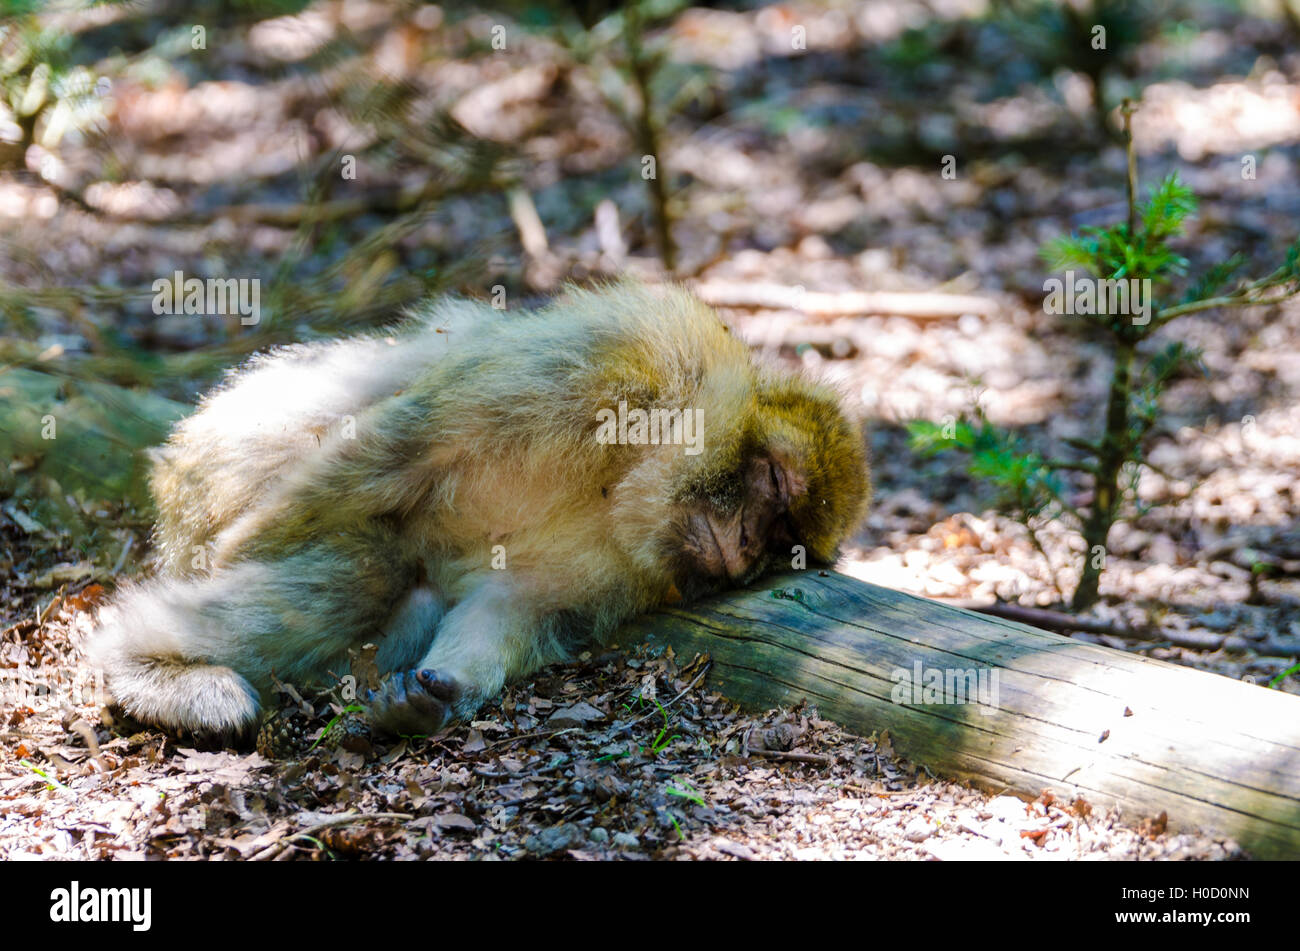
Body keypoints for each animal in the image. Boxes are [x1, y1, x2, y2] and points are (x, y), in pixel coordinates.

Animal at [87, 281, 870, 743]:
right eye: (773, 482)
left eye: (785, 541)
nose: (749, 542)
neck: (625, 476)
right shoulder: (619, 358)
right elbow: (417, 435)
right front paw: (239, 549)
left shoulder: (623, 566)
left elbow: (516, 603)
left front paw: (437, 694)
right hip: (206, 480)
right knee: (363, 559)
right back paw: (144, 663)